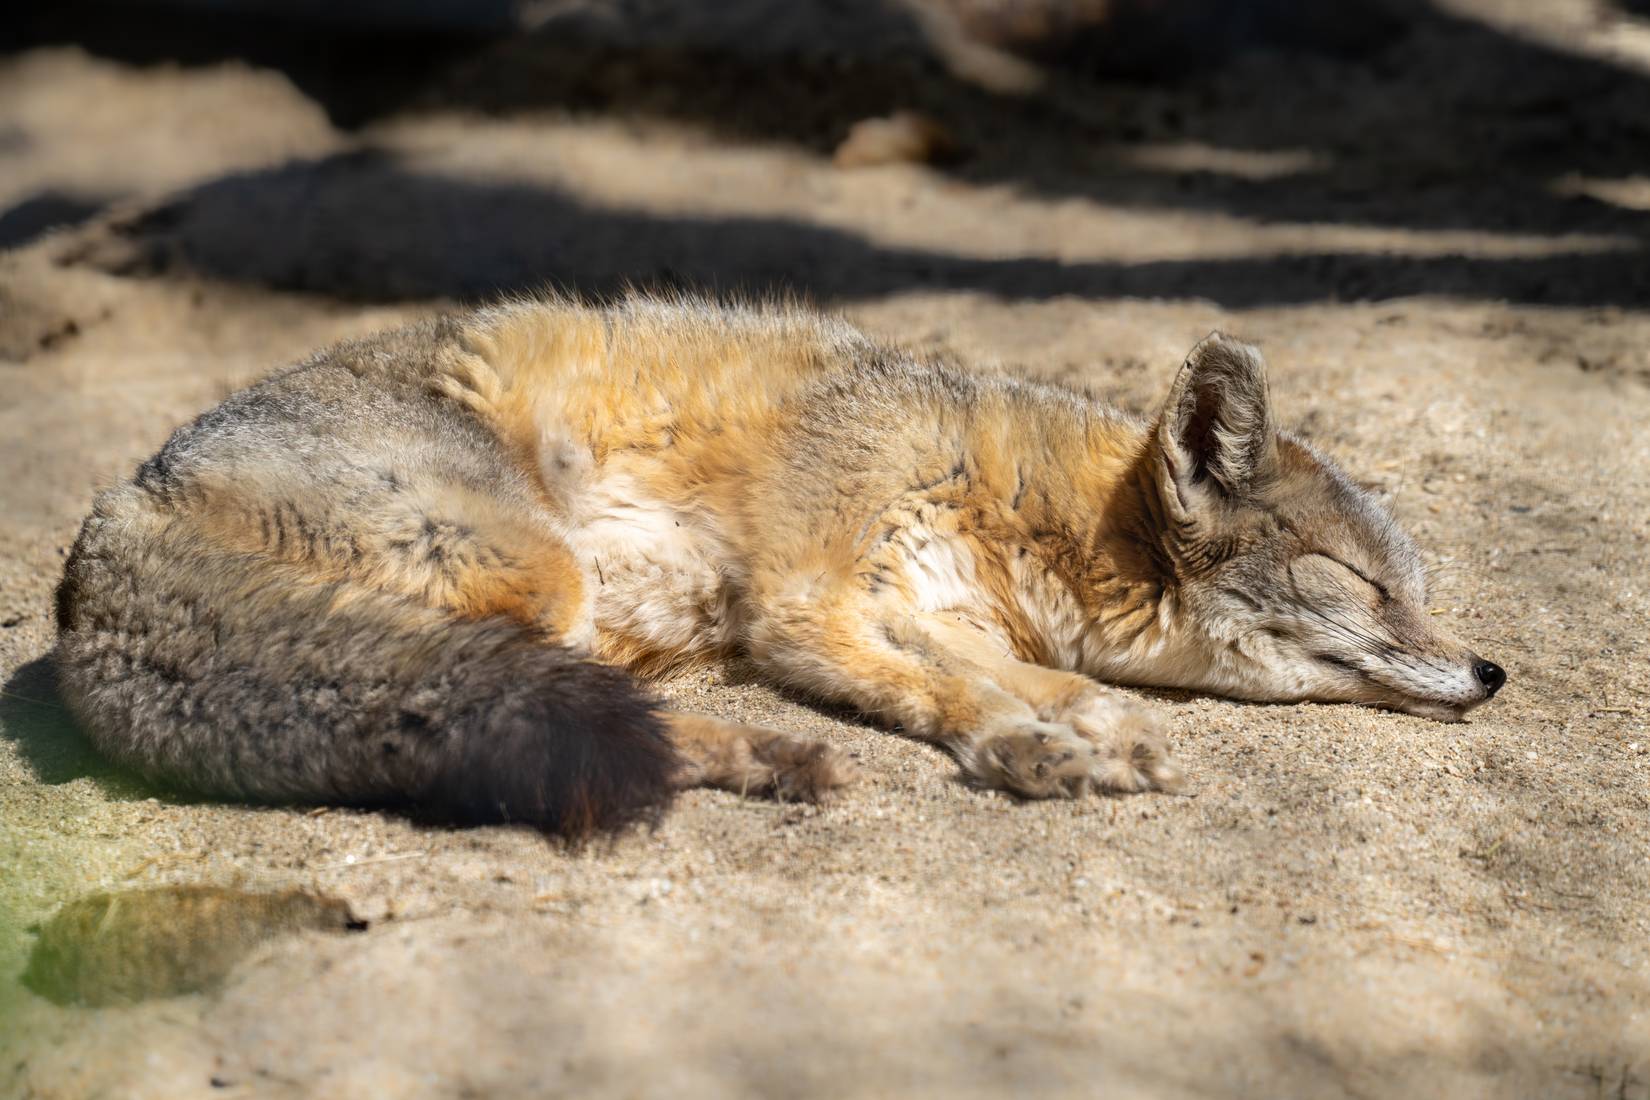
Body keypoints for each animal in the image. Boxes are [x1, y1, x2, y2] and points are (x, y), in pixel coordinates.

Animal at [54, 295, 1506, 836]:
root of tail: (109, 521)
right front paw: (1034, 748)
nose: (1492, 670)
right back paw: (761, 753)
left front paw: (1077, 724)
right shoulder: (806, 608)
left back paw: (758, 756)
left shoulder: (920, 602)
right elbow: (940, 693)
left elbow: (1008, 677)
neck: (997, 489)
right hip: (544, 576)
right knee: (504, 695)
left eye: (1420, 585)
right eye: (1371, 587)